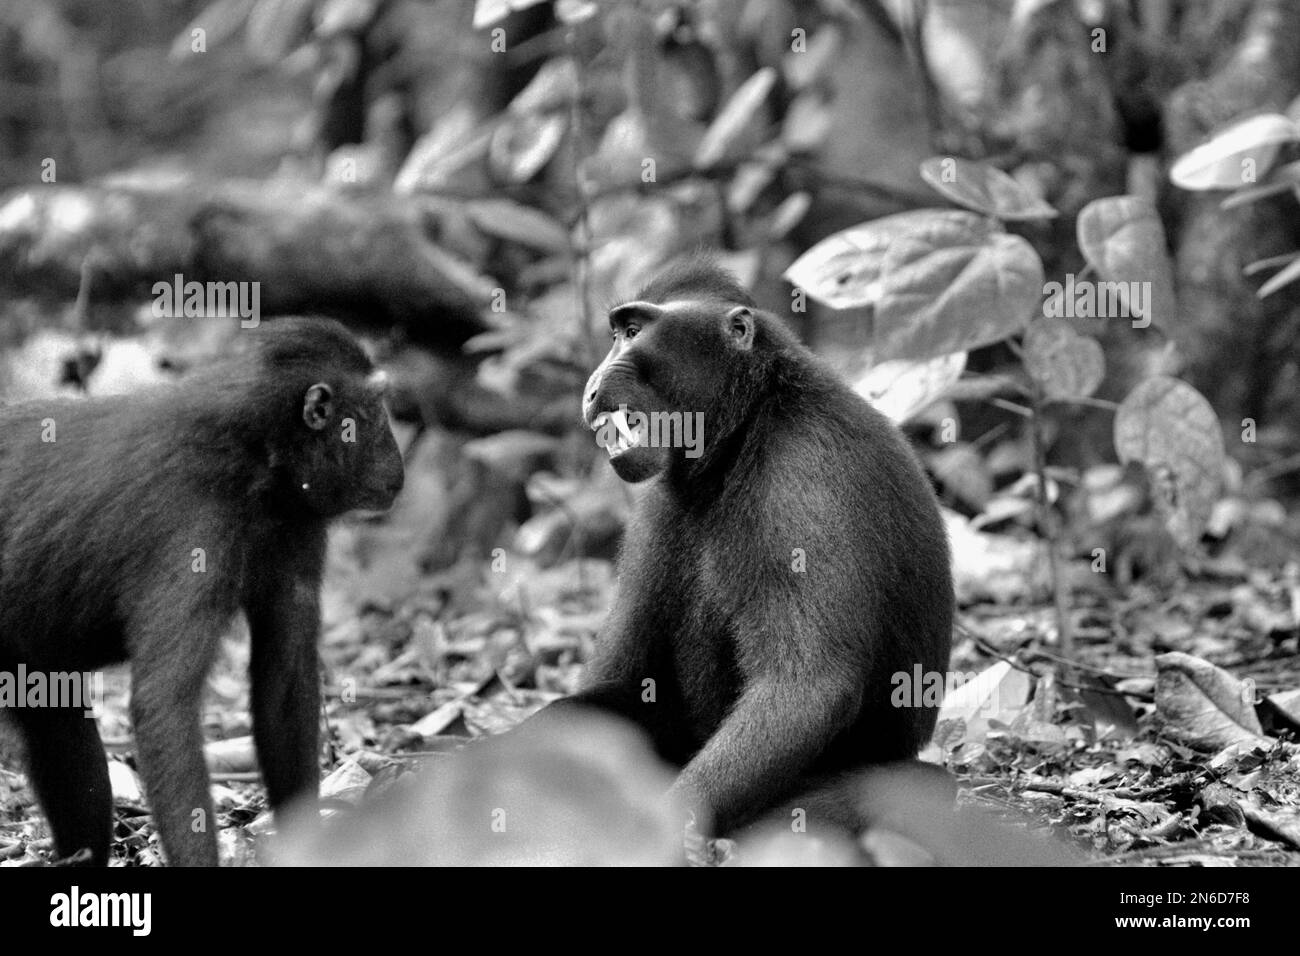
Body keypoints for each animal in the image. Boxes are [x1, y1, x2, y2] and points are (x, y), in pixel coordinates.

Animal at [0, 317, 404, 865]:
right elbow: (164, 706)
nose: (398, 462)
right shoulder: (195, 525)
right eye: (378, 408)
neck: (256, 457)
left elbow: (283, 681)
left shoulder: (298, 522)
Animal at [548, 258, 953, 837]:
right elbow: (621, 682)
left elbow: (808, 687)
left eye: (633, 332)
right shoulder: (660, 502)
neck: (746, 424)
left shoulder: (804, 473)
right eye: (616, 334)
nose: (592, 387)